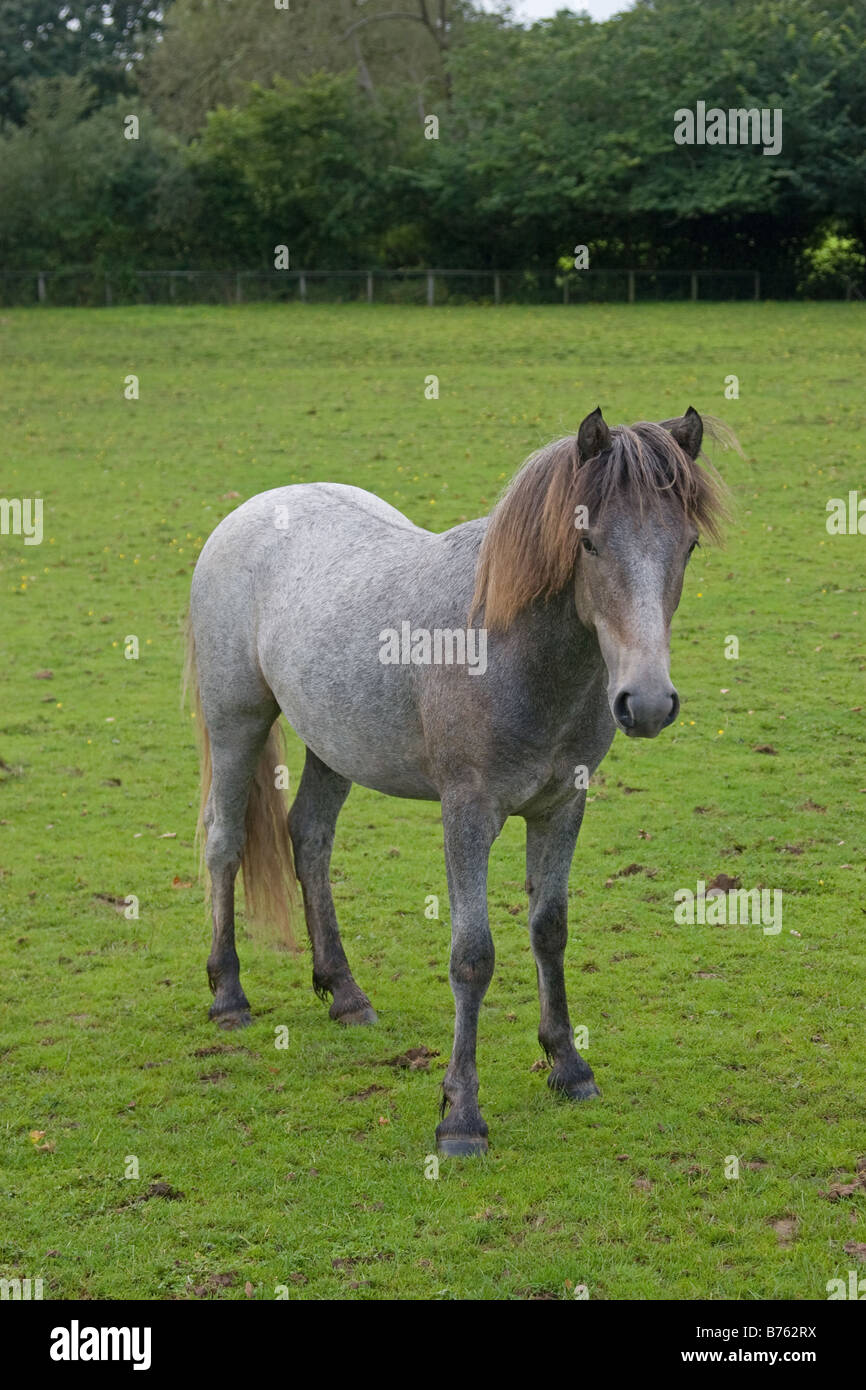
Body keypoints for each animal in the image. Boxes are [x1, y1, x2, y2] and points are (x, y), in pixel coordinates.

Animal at [184, 405, 729, 1155]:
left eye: (688, 546)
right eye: (587, 542)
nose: (646, 703)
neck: (509, 647)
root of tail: (252, 509)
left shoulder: (563, 806)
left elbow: (549, 929)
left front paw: (568, 1066)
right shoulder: (467, 812)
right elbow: (473, 955)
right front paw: (461, 1116)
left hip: (335, 743)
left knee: (310, 838)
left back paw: (345, 992)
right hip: (236, 719)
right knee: (224, 841)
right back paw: (229, 995)